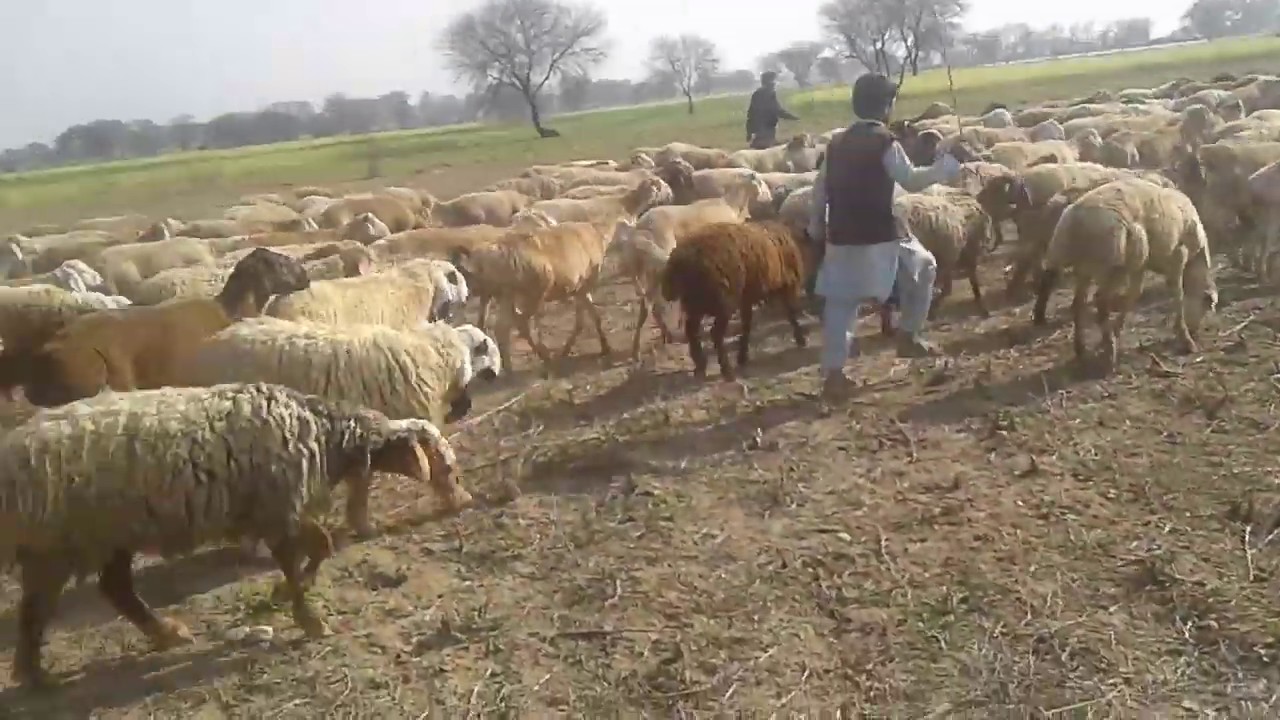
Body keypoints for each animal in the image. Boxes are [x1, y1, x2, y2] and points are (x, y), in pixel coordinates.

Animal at [0, 382, 468, 689]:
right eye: (442, 462)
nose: (461, 500)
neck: (324, 435)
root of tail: (13, 451)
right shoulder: (276, 508)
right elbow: (304, 554)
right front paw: (307, 616)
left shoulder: (277, 511)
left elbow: (320, 545)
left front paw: (289, 595)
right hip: (54, 544)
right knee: (37, 609)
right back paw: (35, 675)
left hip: (111, 534)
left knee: (114, 589)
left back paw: (164, 633)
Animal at [659, 221, 810, 381]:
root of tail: (679, 261)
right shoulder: (788, 284)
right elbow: (791, 313)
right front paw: (801, 339)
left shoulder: (747, 298)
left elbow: (746, 325)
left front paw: (742, 356)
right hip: (723, 301)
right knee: (715, 333)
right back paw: (726, 370)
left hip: (695, 303)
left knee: (691, 331)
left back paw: (700, 366)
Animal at [1033, 178, 1217, 370]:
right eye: (1205, 308)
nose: (1196, 331)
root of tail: (1078, 218)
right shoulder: (1177, 259)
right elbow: (1178, 297)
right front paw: (1186, 339)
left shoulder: (1141, 266)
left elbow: (1133, 296)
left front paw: (1116, 329)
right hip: (1115, 263)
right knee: (1100, 300)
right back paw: (1109, 351)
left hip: (1082, 263)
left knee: (1077, 302)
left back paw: (1081, 348)